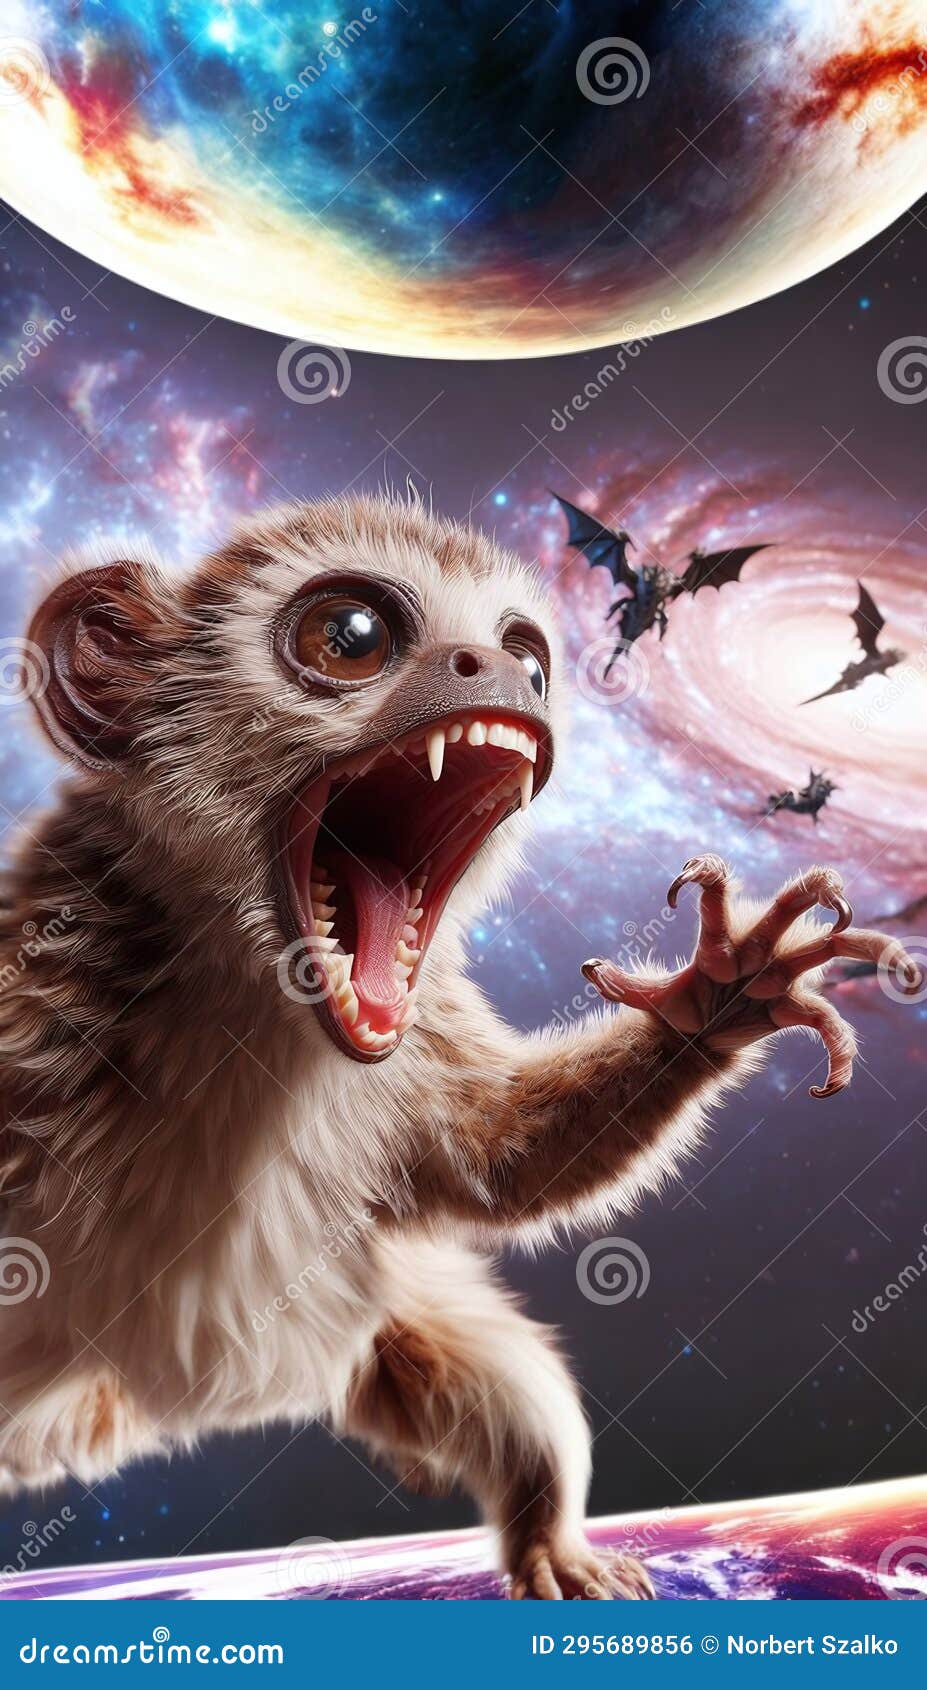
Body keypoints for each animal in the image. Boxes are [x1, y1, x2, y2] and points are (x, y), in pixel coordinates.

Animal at [0, 493, 920, 1600]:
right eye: (349, 635)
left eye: (527, 653)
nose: (504, 674)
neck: (246, 1001)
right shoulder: (36, 991)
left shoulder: (420, 1037)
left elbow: (493, 1163)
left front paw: (722, 990)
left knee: (496, 1375)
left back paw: (544, 1536)